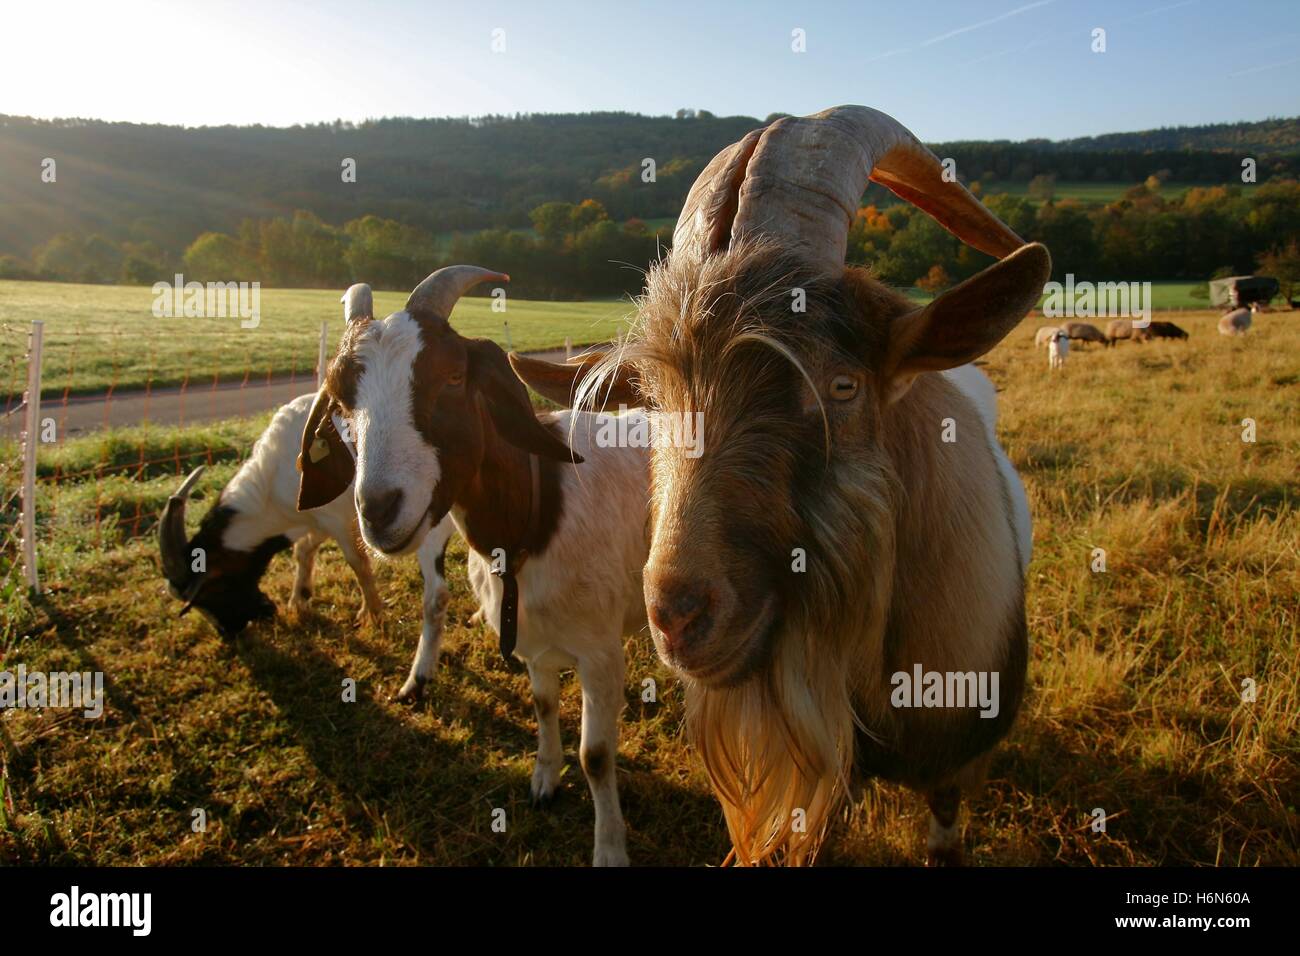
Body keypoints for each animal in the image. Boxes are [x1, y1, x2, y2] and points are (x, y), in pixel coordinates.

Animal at [296, 269, 651, 867]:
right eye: (342, 401)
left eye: (453, 375)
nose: (379, 510)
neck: (536, 511)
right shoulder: (535, 641)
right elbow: (543, 705)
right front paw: (544, 778)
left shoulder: (600, 652)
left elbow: (597, 757)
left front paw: (609, 848)